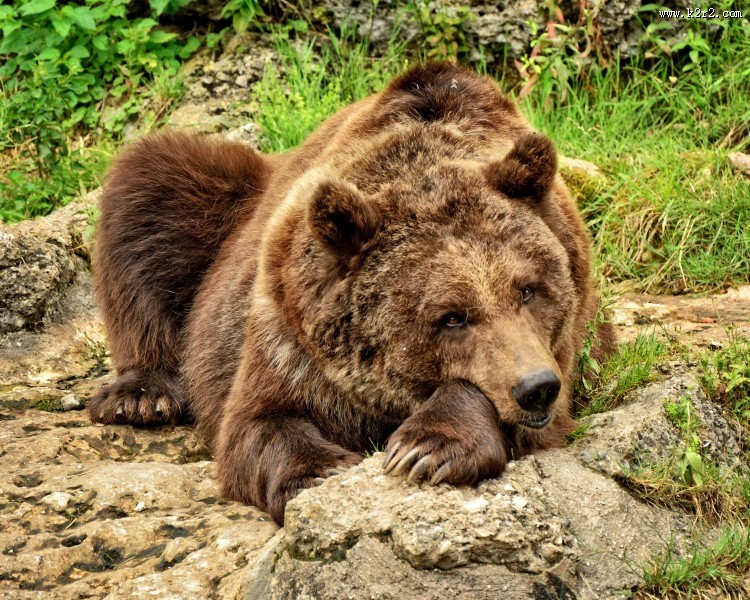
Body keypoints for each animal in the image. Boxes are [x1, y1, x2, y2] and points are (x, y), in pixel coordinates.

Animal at [89, 62, 614, 525]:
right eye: (451, 316)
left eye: (528, 289)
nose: (535, 388)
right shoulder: (289, 338)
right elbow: (256, 424)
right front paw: (319, 471)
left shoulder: (566, 349)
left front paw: (425, 449)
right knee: (151, 183)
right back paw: (141, 396)